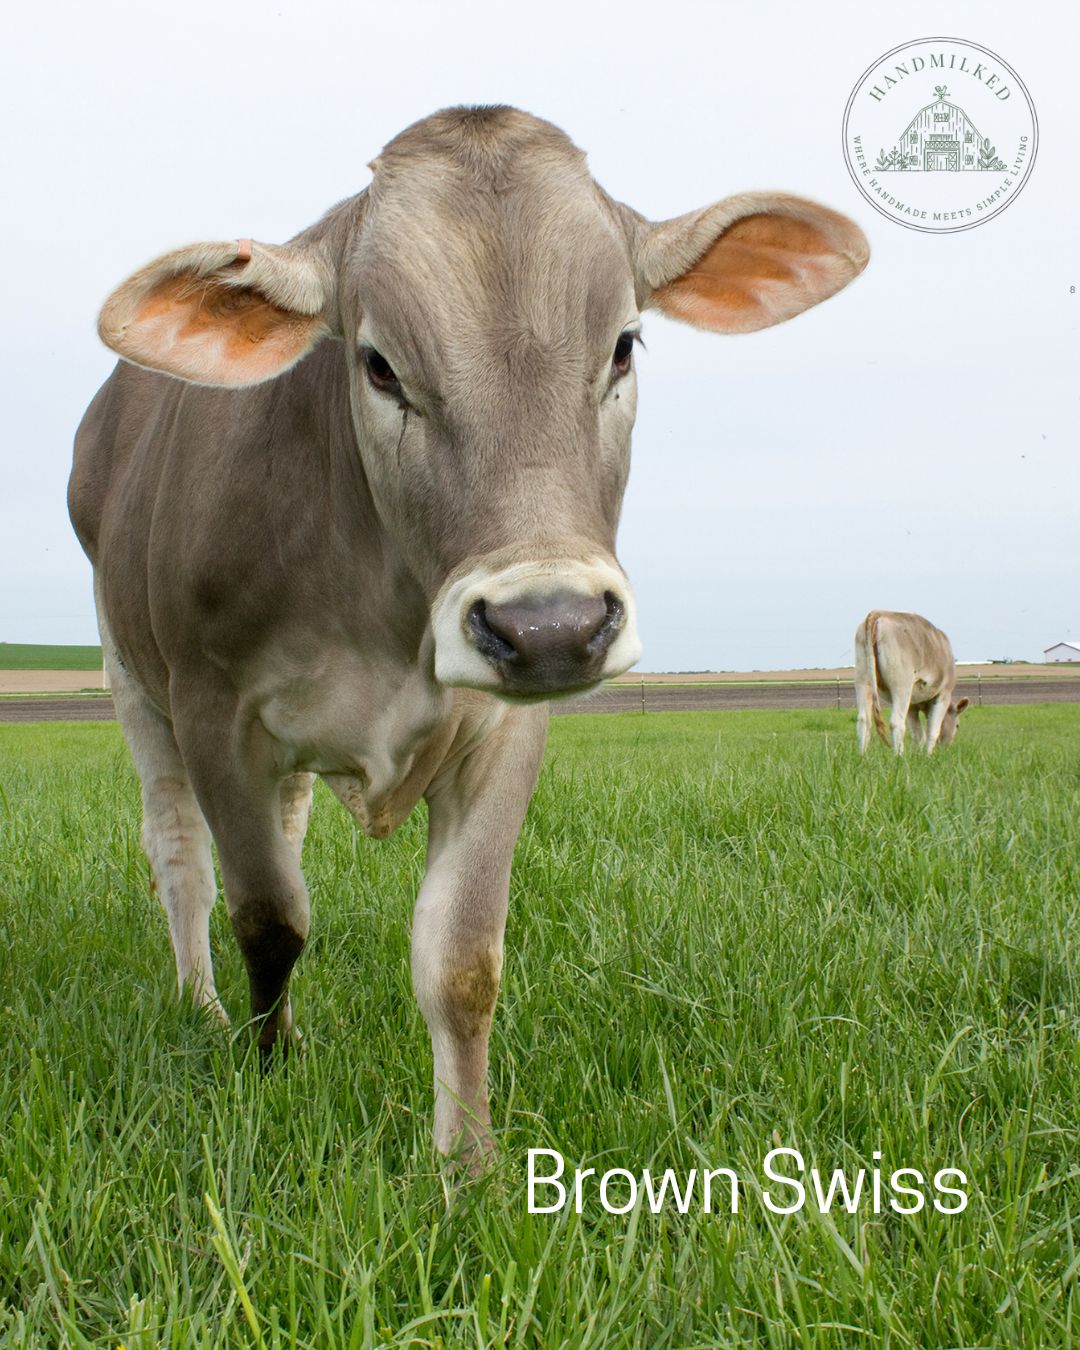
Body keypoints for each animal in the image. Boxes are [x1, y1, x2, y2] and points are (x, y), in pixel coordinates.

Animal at [69, 105, 869, 1166]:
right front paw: (271, 1064)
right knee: (179, 856)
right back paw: (202, 1006)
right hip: (132, 679)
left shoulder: (504, 728)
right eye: (378, 365)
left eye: (624, 346)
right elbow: (268, 917)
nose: (552, 624)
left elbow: (459, 962)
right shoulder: (214, 713)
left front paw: (469, 1164)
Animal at [854, 610, 970, 755]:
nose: (946, 748)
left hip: (863, 679)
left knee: (863, 719)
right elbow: (932, 732)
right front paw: (928, 756)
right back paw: (898, 756)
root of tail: (880, 613)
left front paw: (918, 755)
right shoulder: (943, 694)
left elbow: (918, 735)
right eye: (958, 725)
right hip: (902, 684)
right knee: (896, 722)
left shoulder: (912, 706)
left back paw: (862, 755)